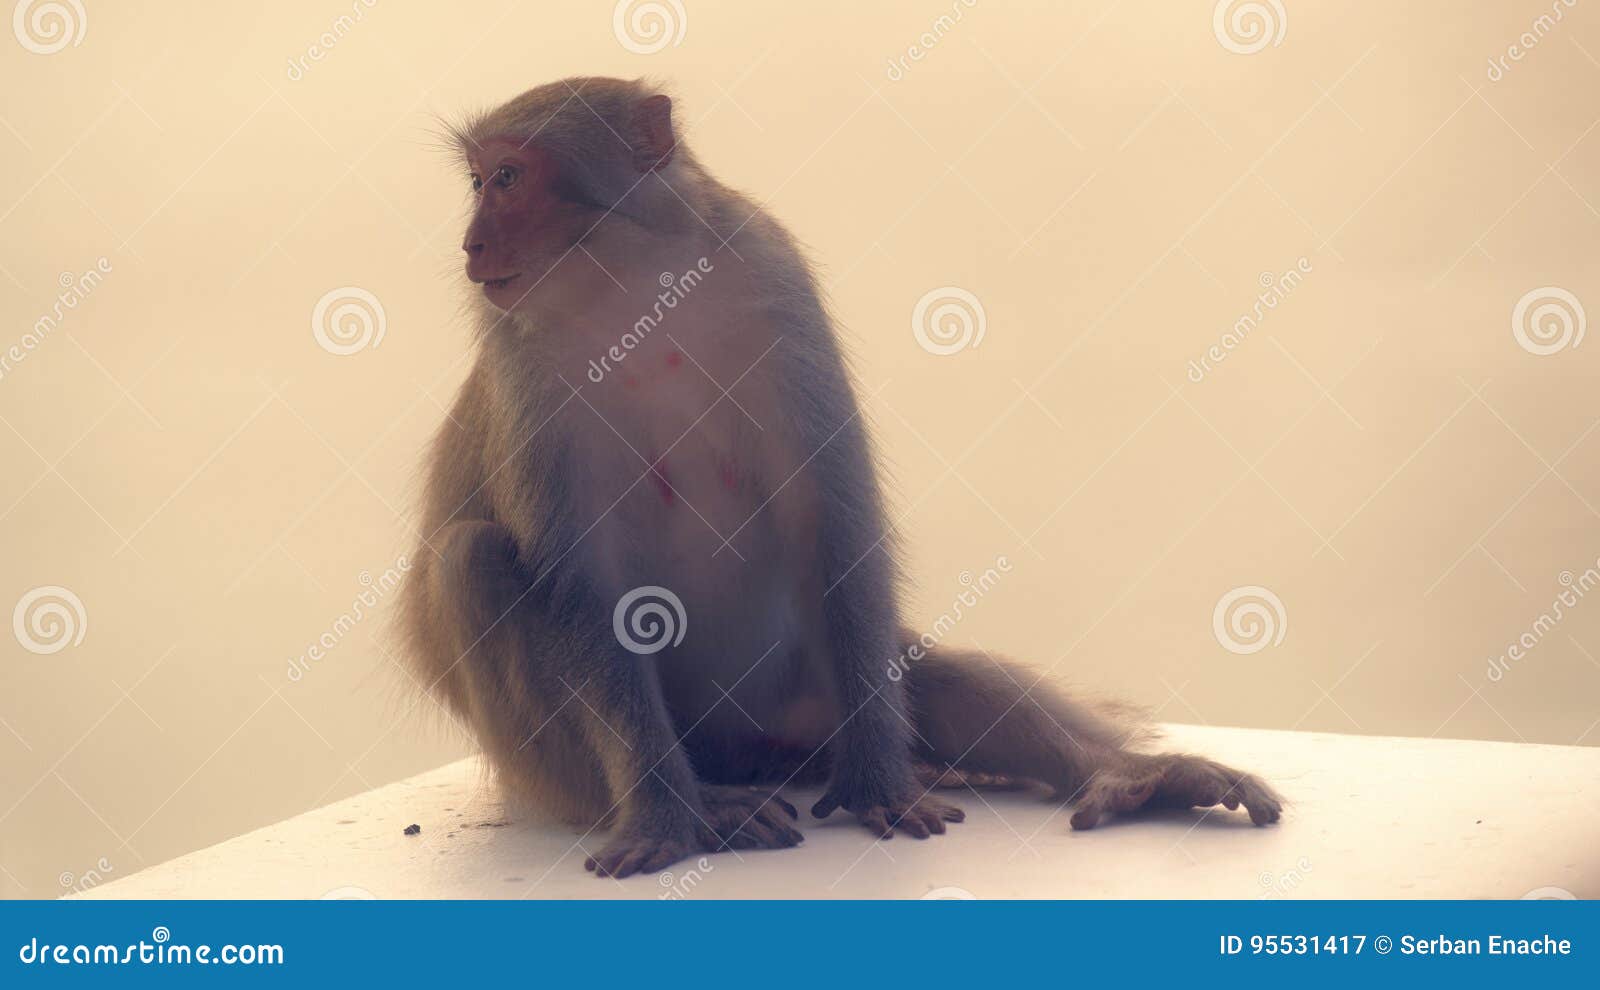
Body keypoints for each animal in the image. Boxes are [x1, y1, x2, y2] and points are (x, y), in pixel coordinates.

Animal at [399, 76, 1282, 879]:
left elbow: (833, 518)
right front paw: (663, 818)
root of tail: (765, 754)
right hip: (556, 770)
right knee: (471, 561)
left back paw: (1124, 775)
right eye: (478, 182)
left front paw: (881, 785)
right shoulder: (524, 363)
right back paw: (696, 802)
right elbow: (583, 591)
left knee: (922, 669)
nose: (471, 245)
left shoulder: (771, 276)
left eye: (506, 177)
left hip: (812, 702)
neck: (635, 294)